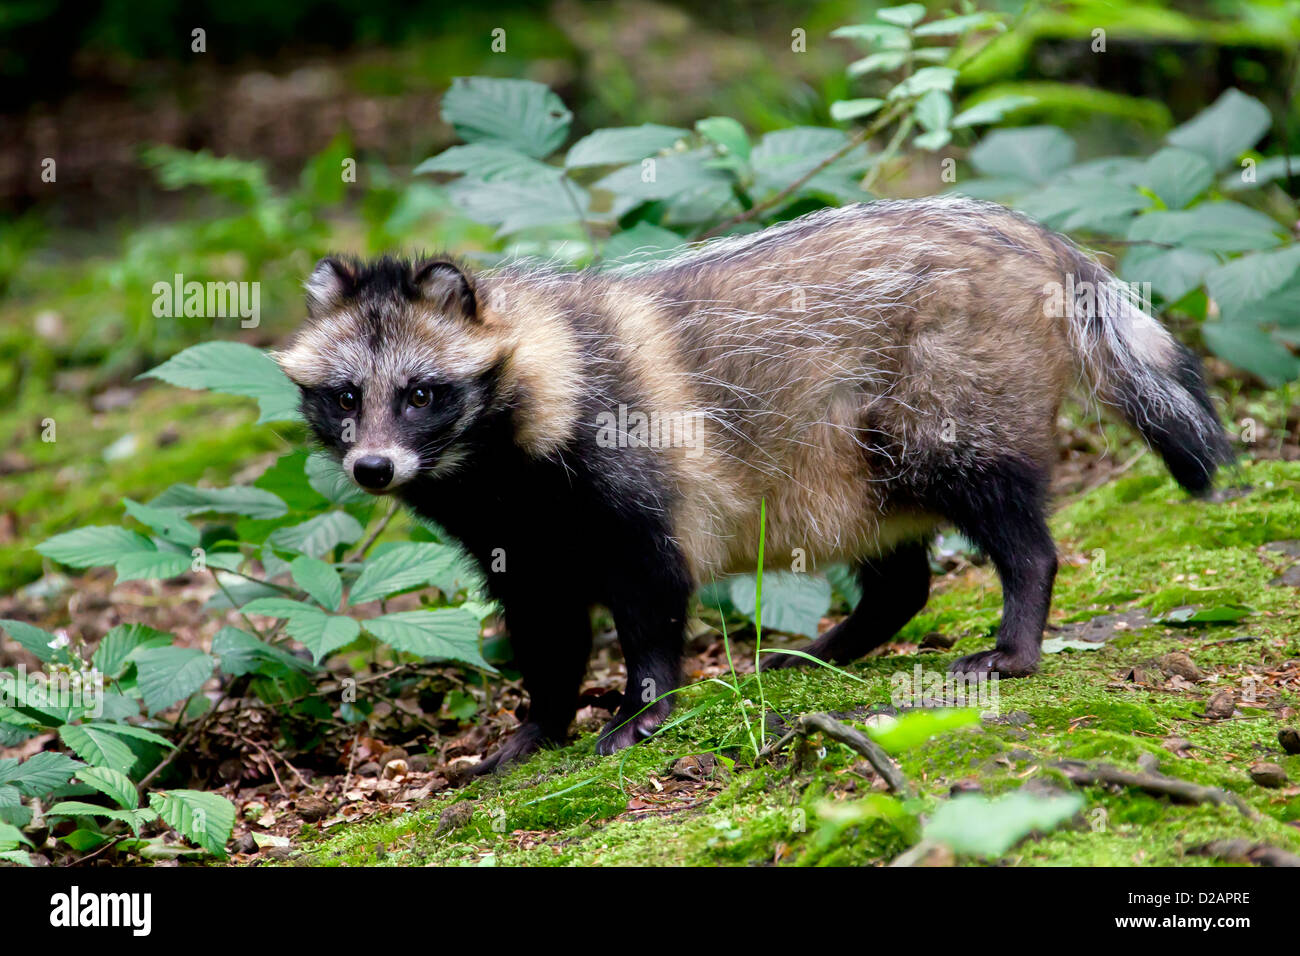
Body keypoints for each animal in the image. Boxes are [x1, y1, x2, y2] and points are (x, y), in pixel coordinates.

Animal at [275, 195, 1232, 773]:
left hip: (943, 396)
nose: (372, 467)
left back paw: (1018, 625)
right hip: (852, 467)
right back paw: (838, 640)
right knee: (900, 573)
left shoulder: (627, 469)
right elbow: (544, 628)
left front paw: (643, 705)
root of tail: (1025, 234)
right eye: (345, 396)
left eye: (422, 393)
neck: (490, 469)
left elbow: (653, 598)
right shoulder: (519, 537)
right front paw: (539, 724)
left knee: (1001, 510)